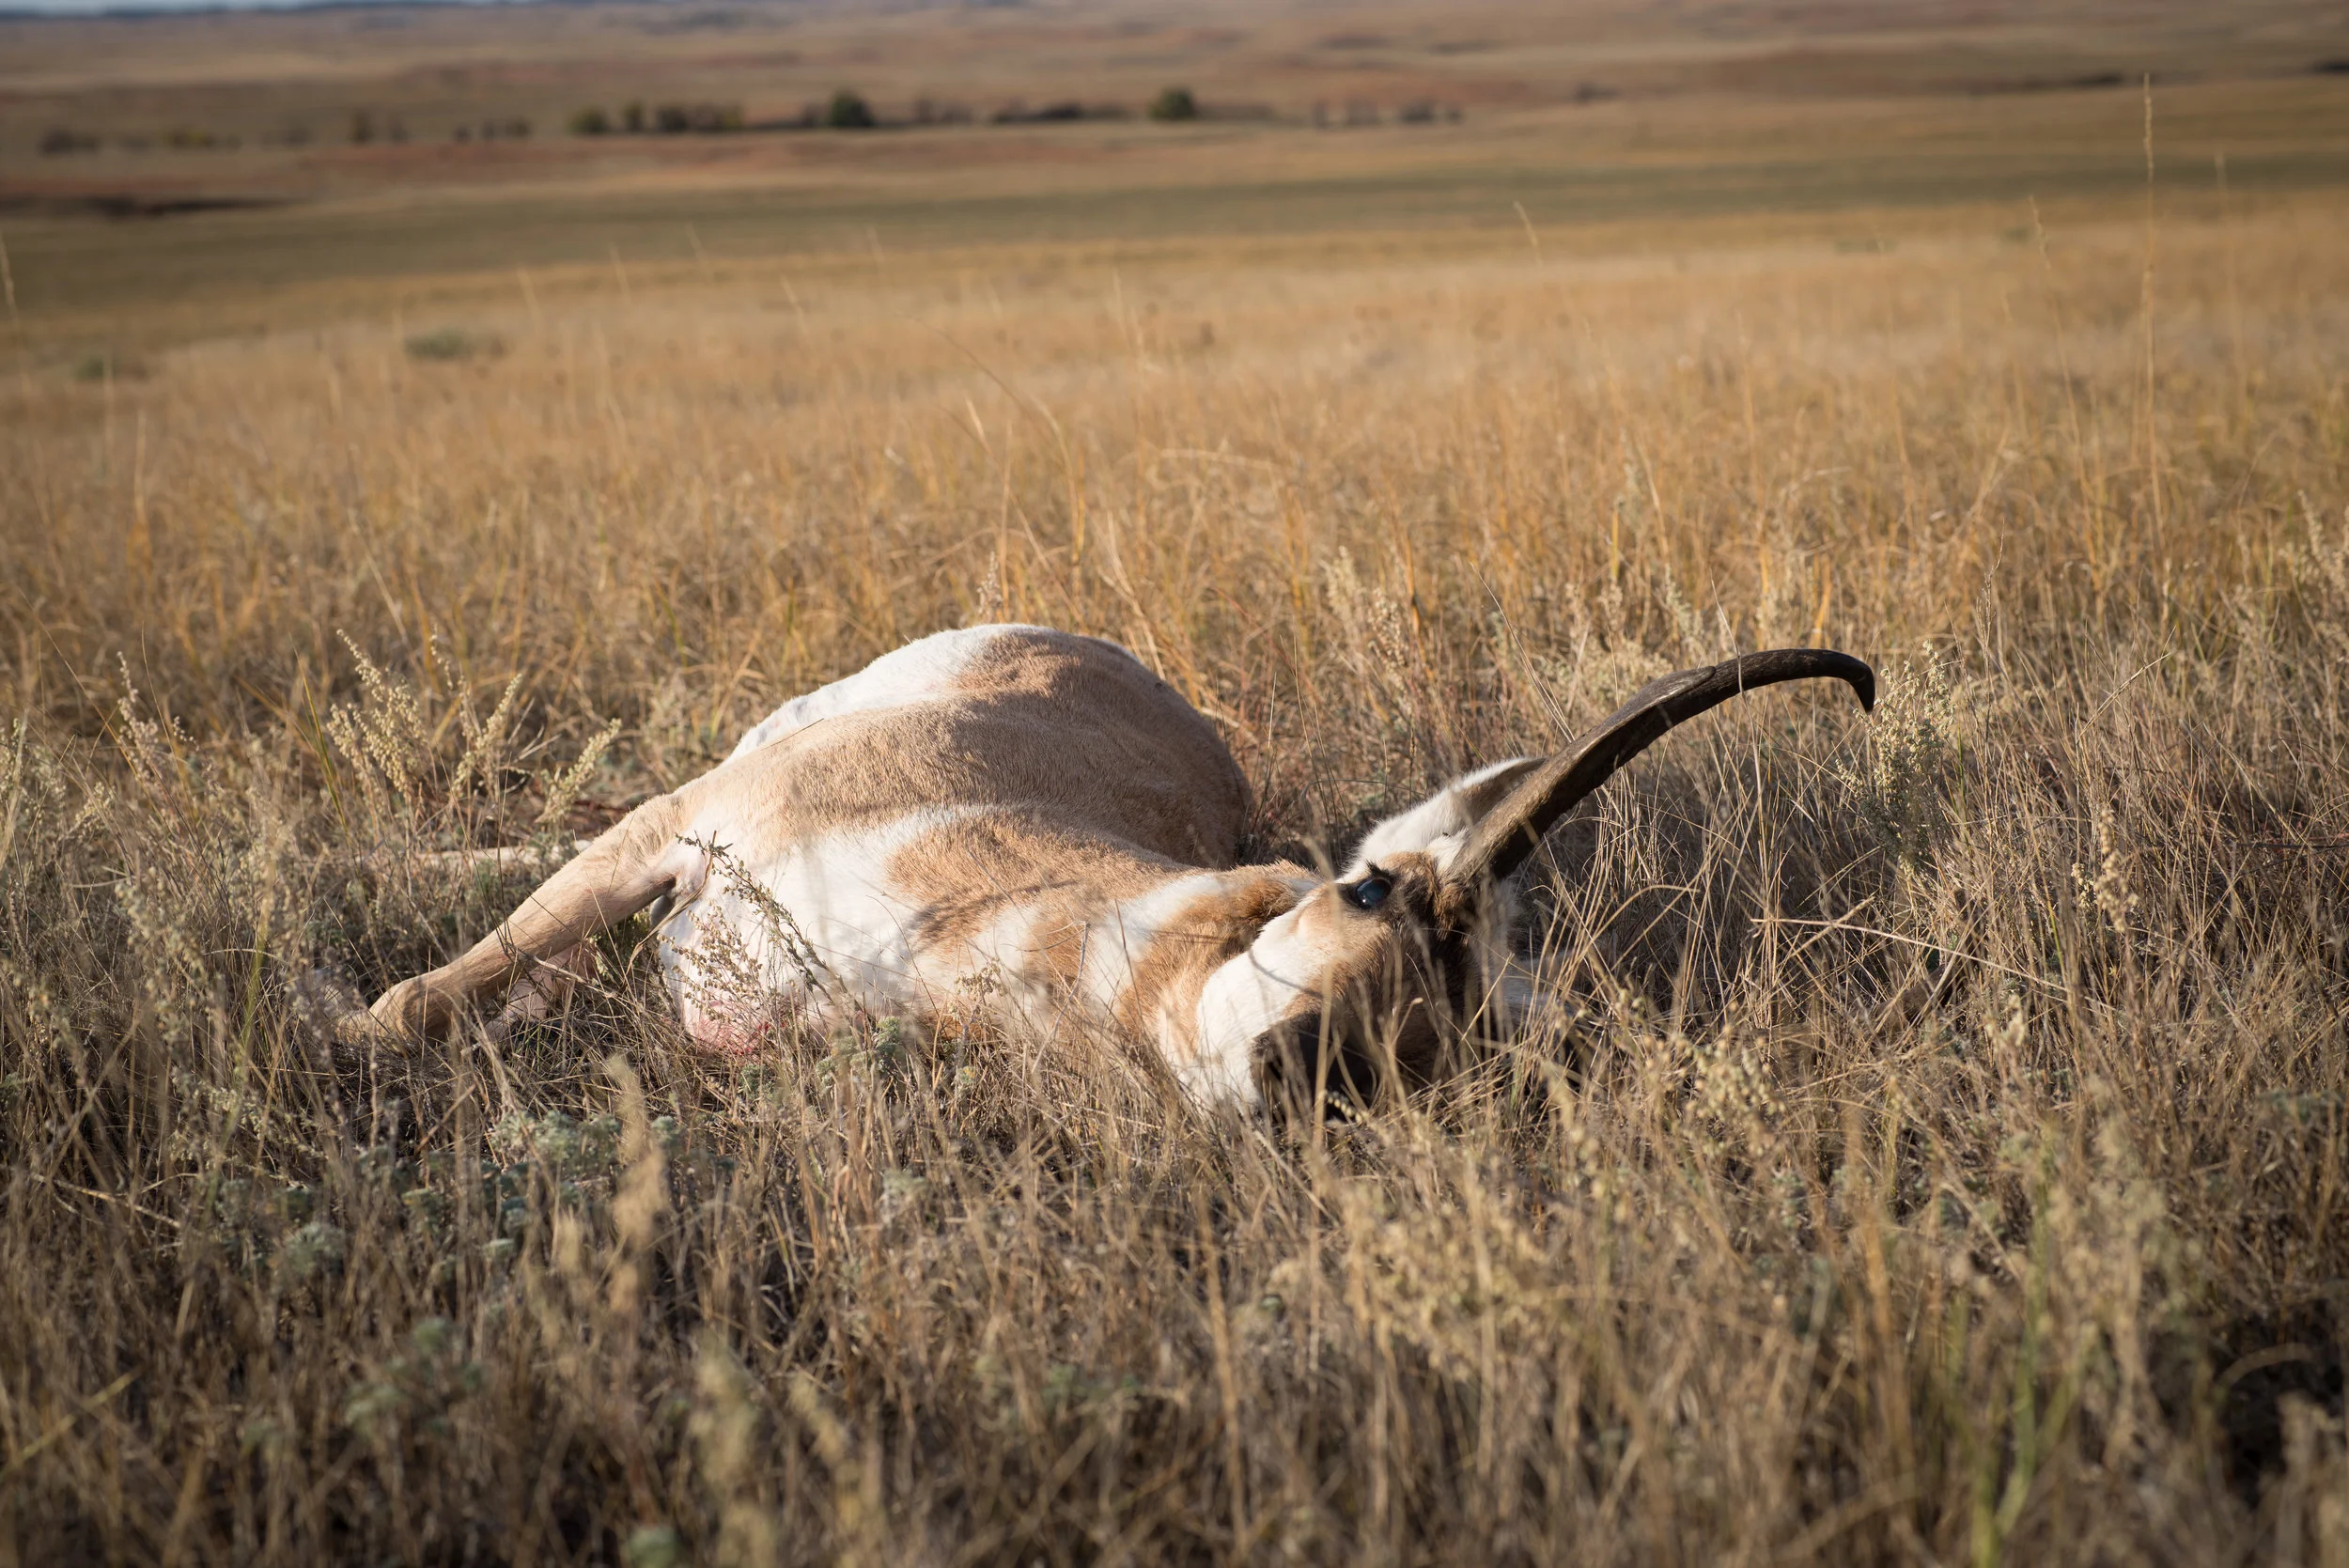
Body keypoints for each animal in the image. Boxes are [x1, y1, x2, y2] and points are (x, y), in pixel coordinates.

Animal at [358, 625, 1872, 1111]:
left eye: (1446, 1048)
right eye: (1366, 888)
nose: (1299, 1074)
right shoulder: (686, 830)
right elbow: (424, 996)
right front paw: (354, 1029)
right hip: (735, 761)